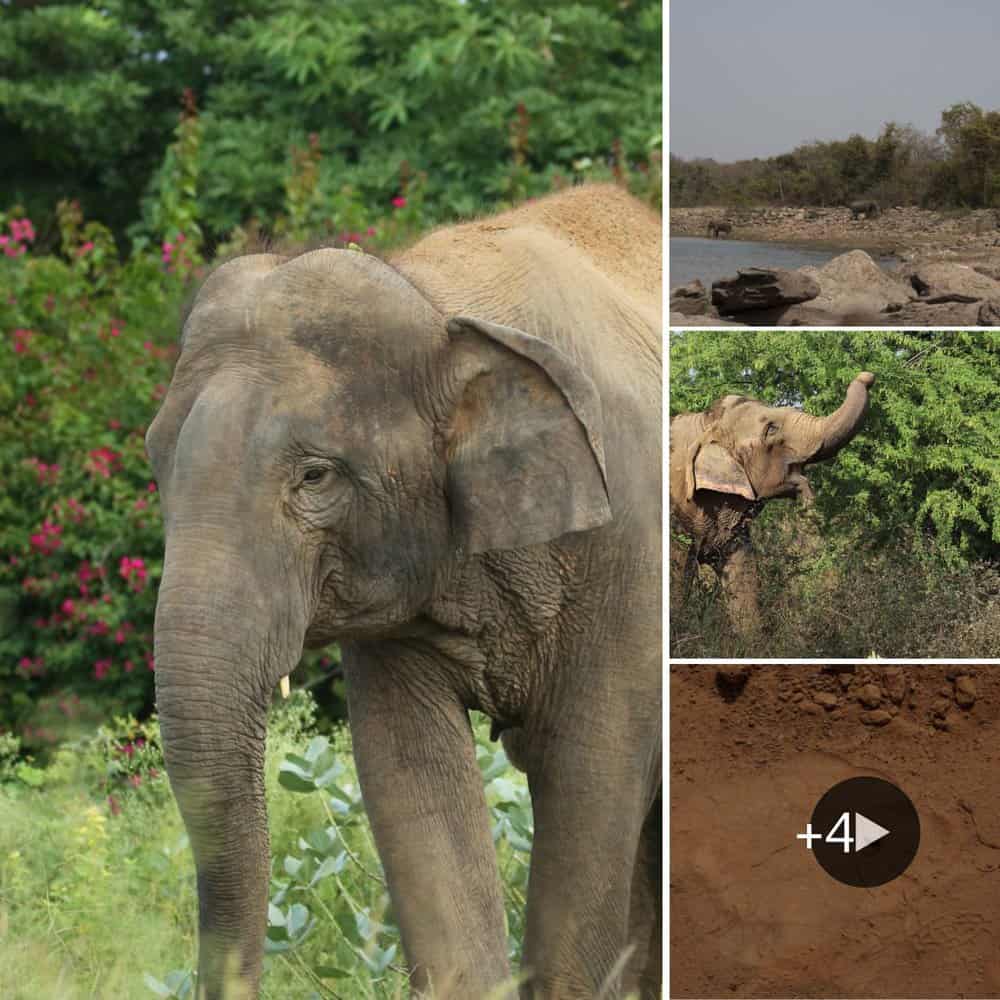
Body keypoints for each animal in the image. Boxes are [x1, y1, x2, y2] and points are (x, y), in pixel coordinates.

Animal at [145, 183, 662, 1000]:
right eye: (155, 463)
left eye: (315, 476)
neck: (438, 305)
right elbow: (410, 781)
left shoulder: (632, 559)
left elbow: (593, 781)